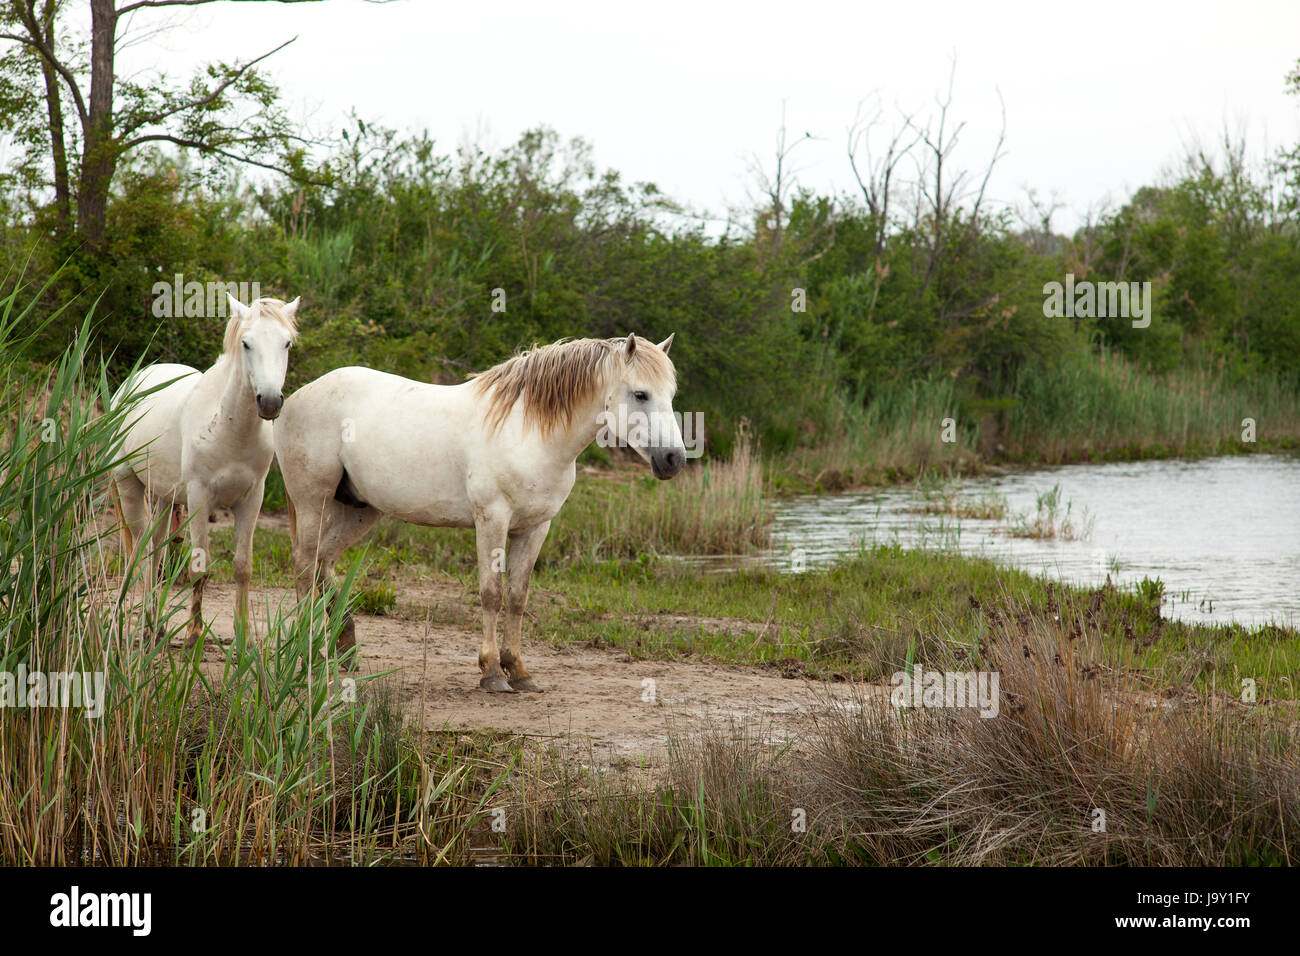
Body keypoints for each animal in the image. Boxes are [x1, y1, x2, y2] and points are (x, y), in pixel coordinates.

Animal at [110, 294, 300, 645]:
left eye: (287, 343)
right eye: (246, 343)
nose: (269, 402)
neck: (230, 428)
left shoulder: (252, 499)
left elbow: (243, 567)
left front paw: (243, 637)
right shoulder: (200, 498)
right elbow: (200, 566)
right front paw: (195, 634)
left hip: (164, 497)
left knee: (156, 551)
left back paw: (154, 625)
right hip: (128, 485)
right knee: (140, 551)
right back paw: (130, 623)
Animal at [274, 333, 686, 692]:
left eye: (671, 394)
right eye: (640, 393)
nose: (674, 459)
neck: (531, 432)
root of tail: (296, 396)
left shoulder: (535, 528)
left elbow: (518, 597)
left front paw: (519, 670)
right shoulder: (492, 520)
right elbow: (491, 593)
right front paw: (491, 672)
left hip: (360, 510)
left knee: (323, 561)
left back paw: (345, 648)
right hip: (313, 501)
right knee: (304, 566)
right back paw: (311, 656)